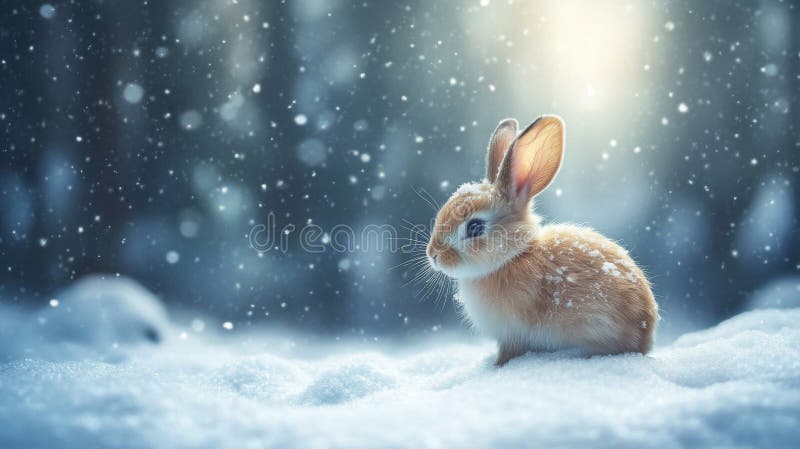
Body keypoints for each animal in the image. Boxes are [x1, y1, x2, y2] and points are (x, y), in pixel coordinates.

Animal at [425, 116, 659, 366]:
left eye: (475, 227)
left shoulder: (513, 334)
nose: (433, 255)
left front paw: (497, 366)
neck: (512, 257)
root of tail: (645, 334)